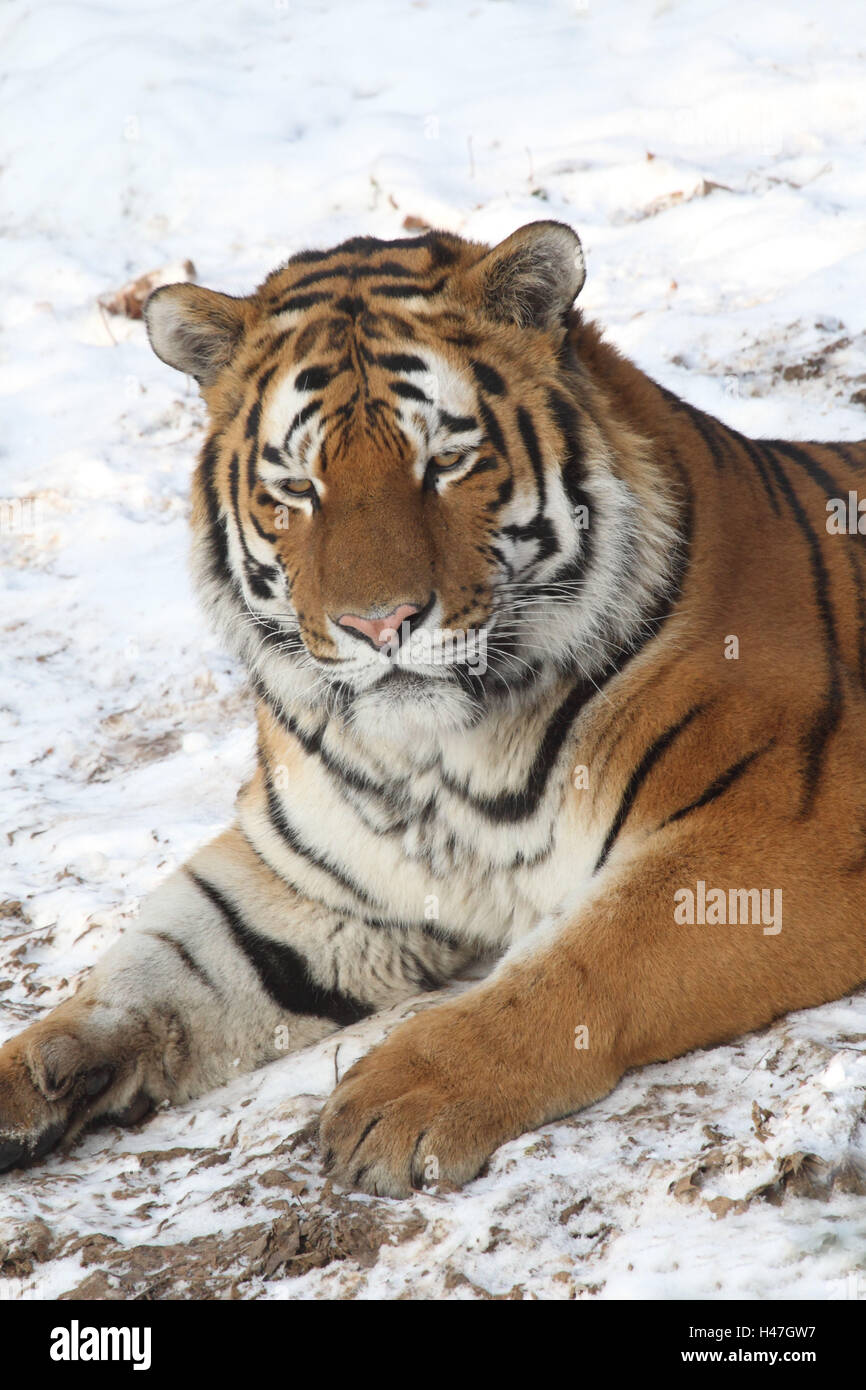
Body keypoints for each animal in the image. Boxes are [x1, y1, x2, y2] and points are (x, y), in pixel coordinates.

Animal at [2, 219, 866, 1199]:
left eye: (446, 462)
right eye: (297, 487)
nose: (380, 624)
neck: (440, 757)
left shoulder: (790, 827)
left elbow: (584, 961)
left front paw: (404, 1096)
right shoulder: (314, 882)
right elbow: (155, 968)